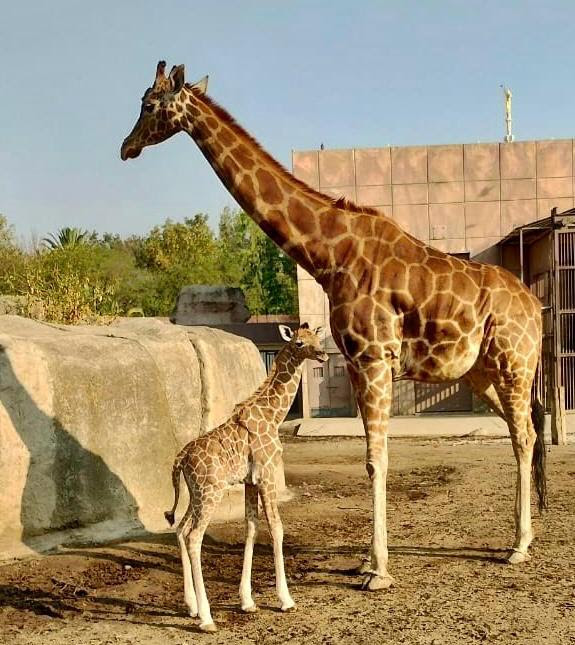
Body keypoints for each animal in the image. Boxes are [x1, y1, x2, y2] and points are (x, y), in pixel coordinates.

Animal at [121, 61, 547, 592]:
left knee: (526, 435)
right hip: (481, 372)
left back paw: (520, 547)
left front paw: (378, 571)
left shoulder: (372, 357)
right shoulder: (358, 361)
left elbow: (375, 459)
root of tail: (536, 306)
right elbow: (373, 457)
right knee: (518, 434)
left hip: (514, 364)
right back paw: (518, 539)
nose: (126, 147)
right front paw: (367, 561)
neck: (329, 256)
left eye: (149, 105)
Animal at [164, 324, 328, 632]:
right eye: (299, 343)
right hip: (210, 492)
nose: (323, 354)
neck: (273, 416)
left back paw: (191, 606)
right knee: (193, 537)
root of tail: (180, 458)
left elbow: (250, 529)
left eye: (317, 338)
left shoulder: (251, 481)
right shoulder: (267, 475)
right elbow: (276, 528)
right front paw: (286, 600)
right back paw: (206, 618)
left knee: (180, 528)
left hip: (196, 493)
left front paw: (247, 601)